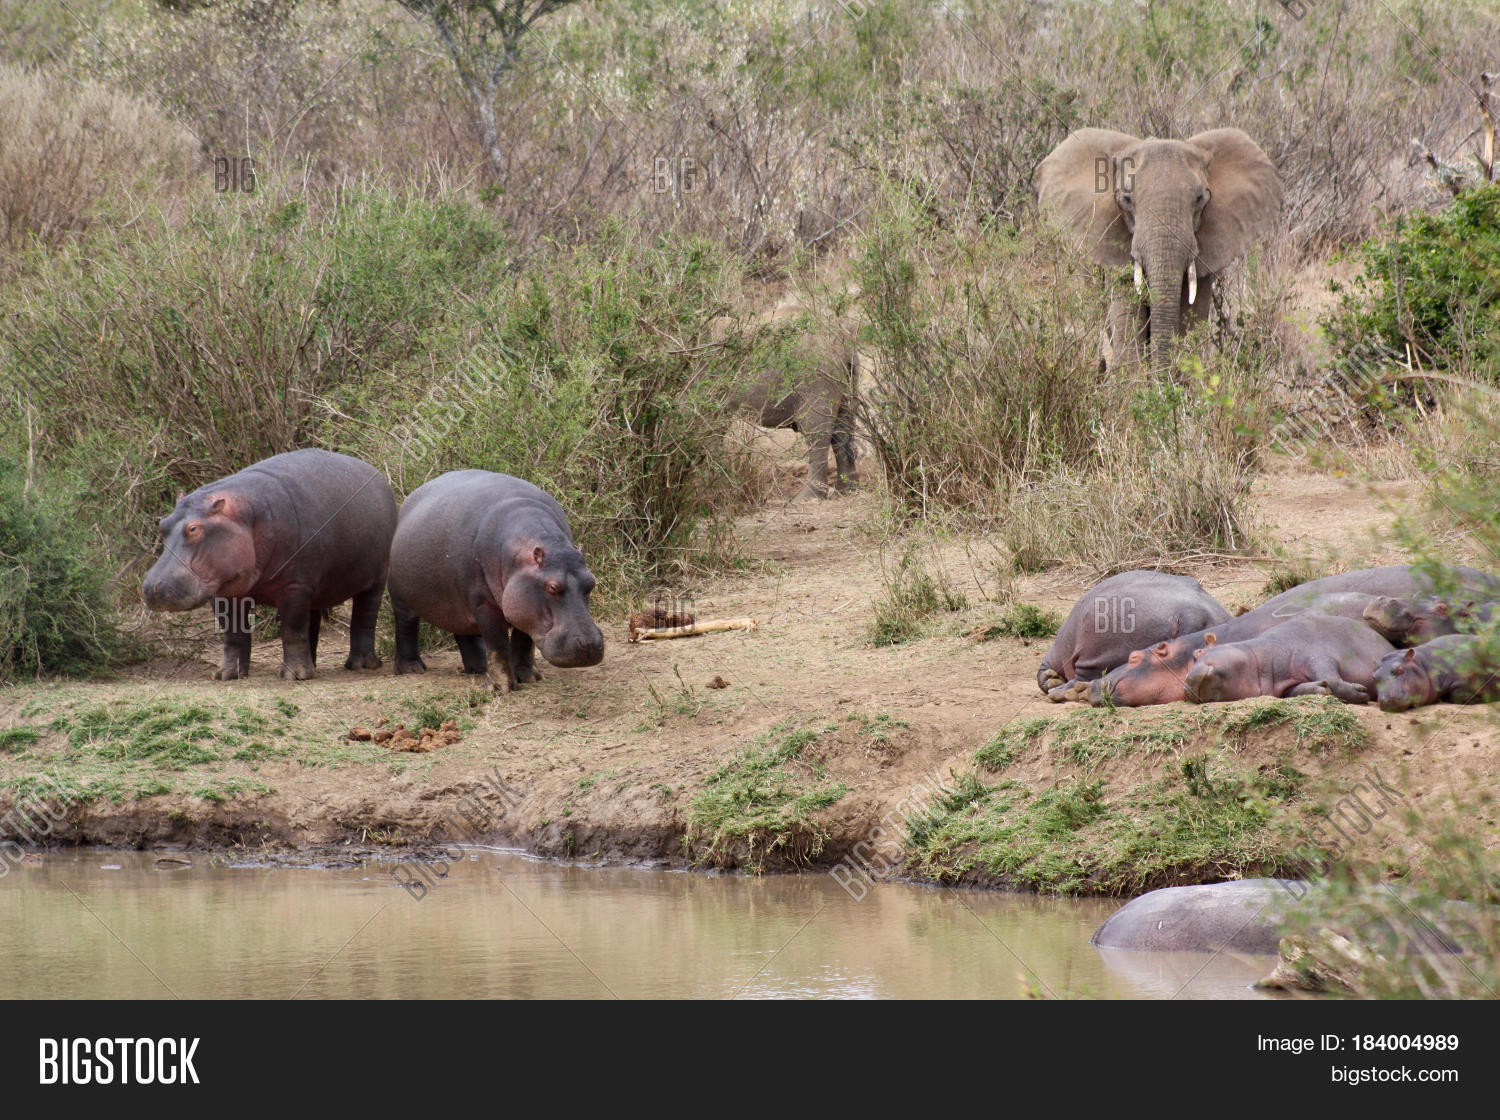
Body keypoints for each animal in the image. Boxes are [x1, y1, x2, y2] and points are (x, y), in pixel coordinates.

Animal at [141, 448, 397, 680]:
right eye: (162, 524)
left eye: (194, 528)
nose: (153, 587)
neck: (245, 515)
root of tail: (377, 476)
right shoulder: (225, 591)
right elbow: (233, 634)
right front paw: (227, 674)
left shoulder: (294, 586)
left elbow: (292, 630)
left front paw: (294, 676)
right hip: (313, 588)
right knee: (312, 622)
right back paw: (313, 667)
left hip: (376, 577)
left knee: (364, 617)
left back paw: (361, 665)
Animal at [387, 470, 604, 691]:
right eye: (552, 587)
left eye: (591, 582)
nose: (590, 645)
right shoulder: (485, 603)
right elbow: (497, 643)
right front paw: (501, 687)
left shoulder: (524, 604)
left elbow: (523, 641)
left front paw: (529, 677)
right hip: (401, 598)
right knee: (406, 626)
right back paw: (412, 669)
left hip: (457, 601)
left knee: (463, 632)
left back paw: (479, 669)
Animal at [1182, 615, 1396, 704]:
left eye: (1197, 652)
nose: (1184, 684)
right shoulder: (1284, 686)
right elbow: (1296, 690)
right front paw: (1320, 689)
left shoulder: (1313, 654)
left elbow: (1330, 676)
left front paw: (1360, 692)